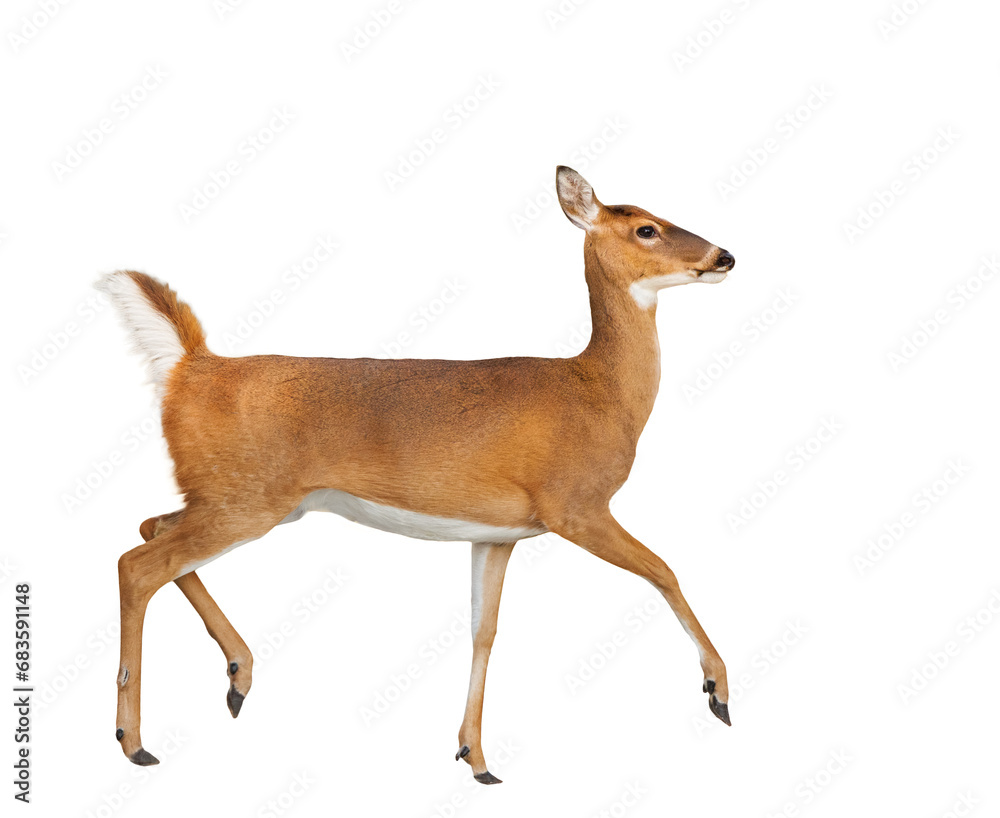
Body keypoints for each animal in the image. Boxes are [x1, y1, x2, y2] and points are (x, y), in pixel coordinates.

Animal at [96, 166, 735, 784]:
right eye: (646, 228)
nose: (724, 256)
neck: (600, 393)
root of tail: (191, 367)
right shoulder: (576, 506)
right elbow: (664, 569)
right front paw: (718, 692)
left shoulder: (498, 534)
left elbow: (484, 629)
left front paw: (474, 756)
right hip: (245, 499)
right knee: (138, 565)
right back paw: (135, 742)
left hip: (238, 498)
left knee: (150, 527)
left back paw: (237, 677)